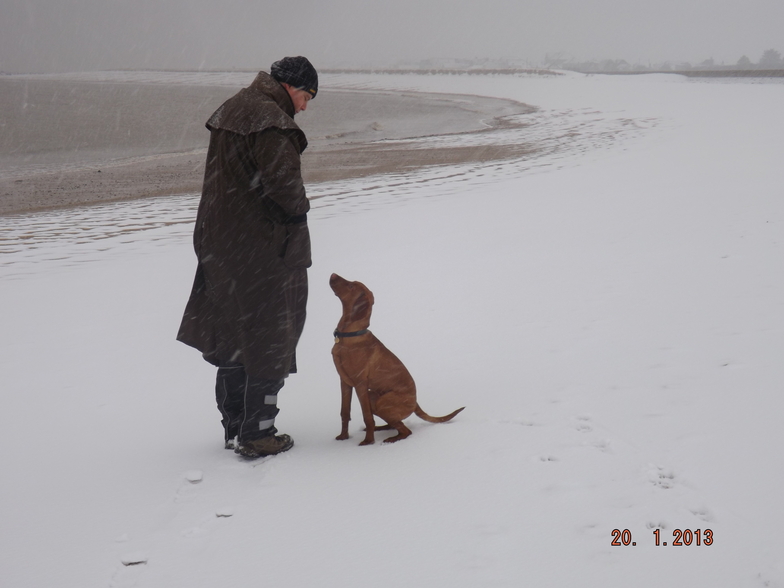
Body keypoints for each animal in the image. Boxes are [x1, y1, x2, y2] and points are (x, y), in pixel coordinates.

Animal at [328, 274, 462, 444]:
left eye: (351, 286)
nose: (333, 274)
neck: (349, 336)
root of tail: (415, 403)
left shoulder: (360, 383)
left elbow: (366, 416)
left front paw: (368, 442)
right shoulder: (345, 382)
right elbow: (344, 412)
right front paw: (343, 437)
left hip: (381, 401)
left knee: (405, 430)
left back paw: (390, 439)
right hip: (373, 396)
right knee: (394, 424)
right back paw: (381, 429)